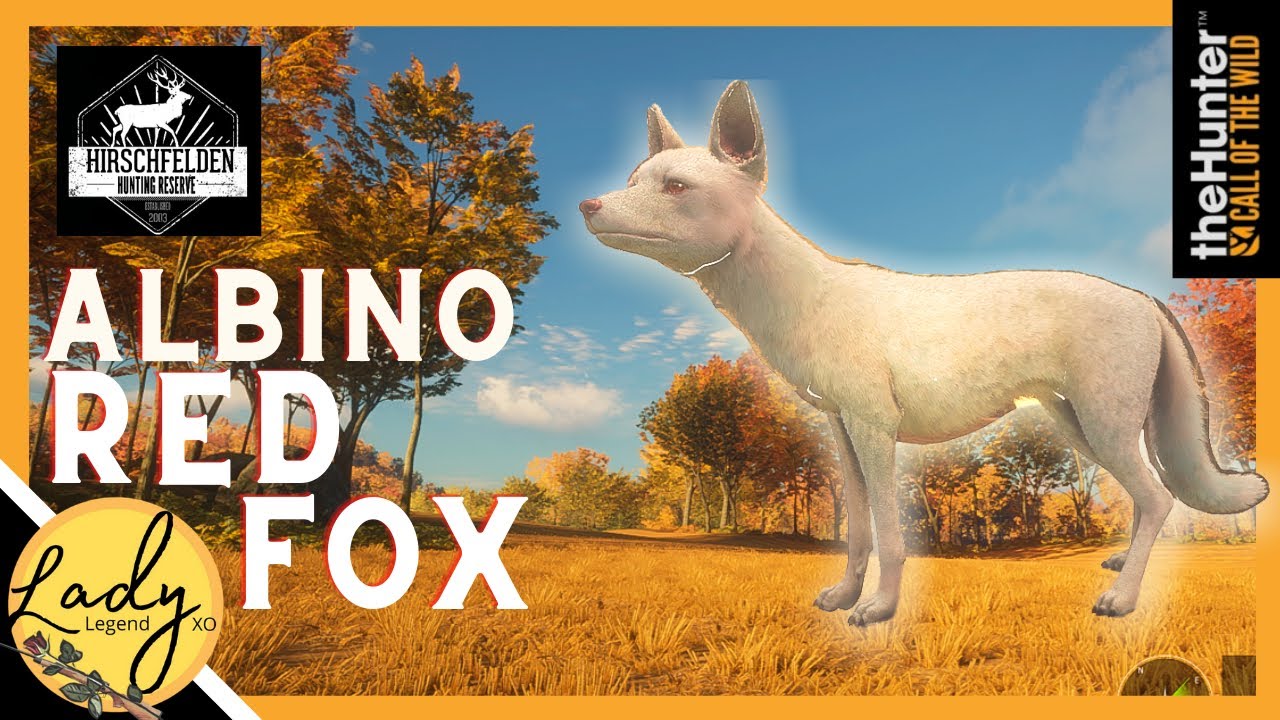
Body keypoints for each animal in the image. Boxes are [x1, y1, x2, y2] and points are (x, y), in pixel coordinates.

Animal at [580, 80, 1268, 626]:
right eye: (633, 181)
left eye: (674, 187)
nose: (588, 205)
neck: (804, 297)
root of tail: (1145, 298)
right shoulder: (842, 432)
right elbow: (857, 530)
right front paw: (843, 596)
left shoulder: (875, 429)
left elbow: (890, 535)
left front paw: (878, 610)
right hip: (1081, 428)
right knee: (1153, 501)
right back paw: (1125, 564)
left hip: (1105, 425)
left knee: (1159, 497)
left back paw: (1123, 599)